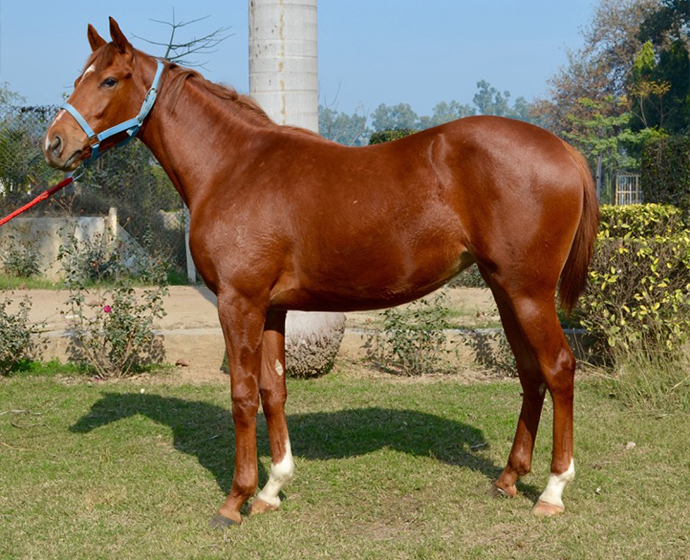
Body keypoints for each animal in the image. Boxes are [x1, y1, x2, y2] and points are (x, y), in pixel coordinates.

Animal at [44, 18, 599, 527]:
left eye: (108, 80)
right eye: (78, 76)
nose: (54, 143)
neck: (233, 166)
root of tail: (566, 151)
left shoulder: (238, 302)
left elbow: (243, 394)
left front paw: (235, 500)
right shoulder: (271, 309)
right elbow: (273, 391)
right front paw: (272, 489)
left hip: (528, 292)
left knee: (558, 369)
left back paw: (553, 490)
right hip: (505, 290)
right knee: (531, 374)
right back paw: (508, 478)